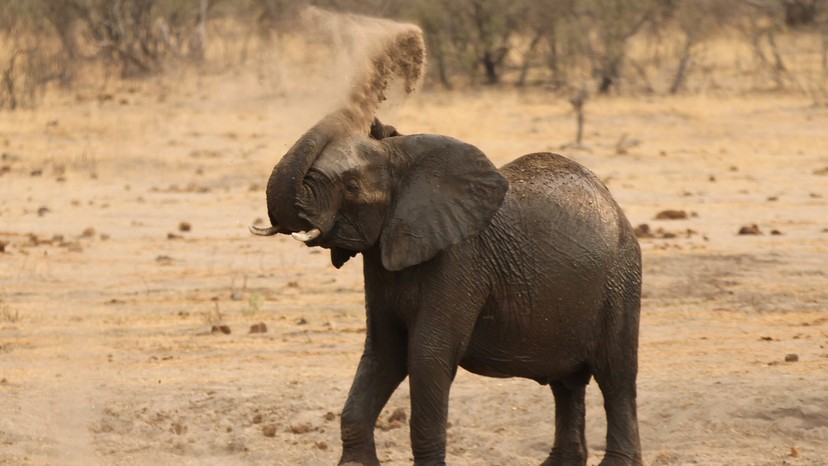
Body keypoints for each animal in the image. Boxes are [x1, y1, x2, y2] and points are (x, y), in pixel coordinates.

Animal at [250, 108, 643, 466]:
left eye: (351, 187)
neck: (404, 159)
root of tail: (615, 207)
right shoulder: (380, 261)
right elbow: (384, 353)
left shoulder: (460, 260)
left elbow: (427, 355)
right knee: (567, 384)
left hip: (621, 280)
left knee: (616, 378)